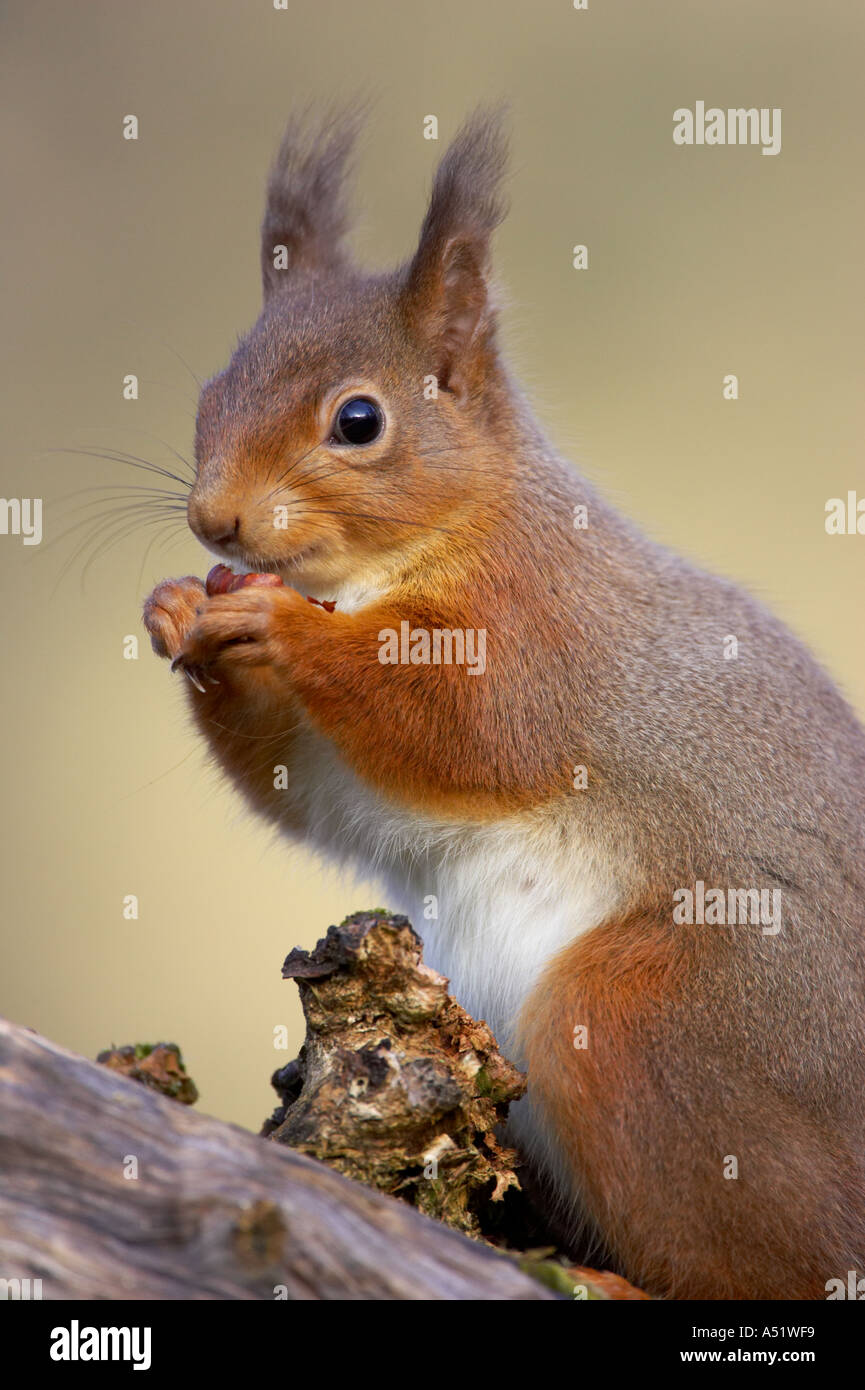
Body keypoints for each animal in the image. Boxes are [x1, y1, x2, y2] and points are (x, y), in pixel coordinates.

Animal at [143, 107, 865, 1299]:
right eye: (208, 395)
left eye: (357, 420)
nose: (215, 520)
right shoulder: (346, 776)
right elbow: (308, 790)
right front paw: (178, 611)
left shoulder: (543, 632)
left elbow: (475, 733)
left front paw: (285, 629)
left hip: (667, 1024)